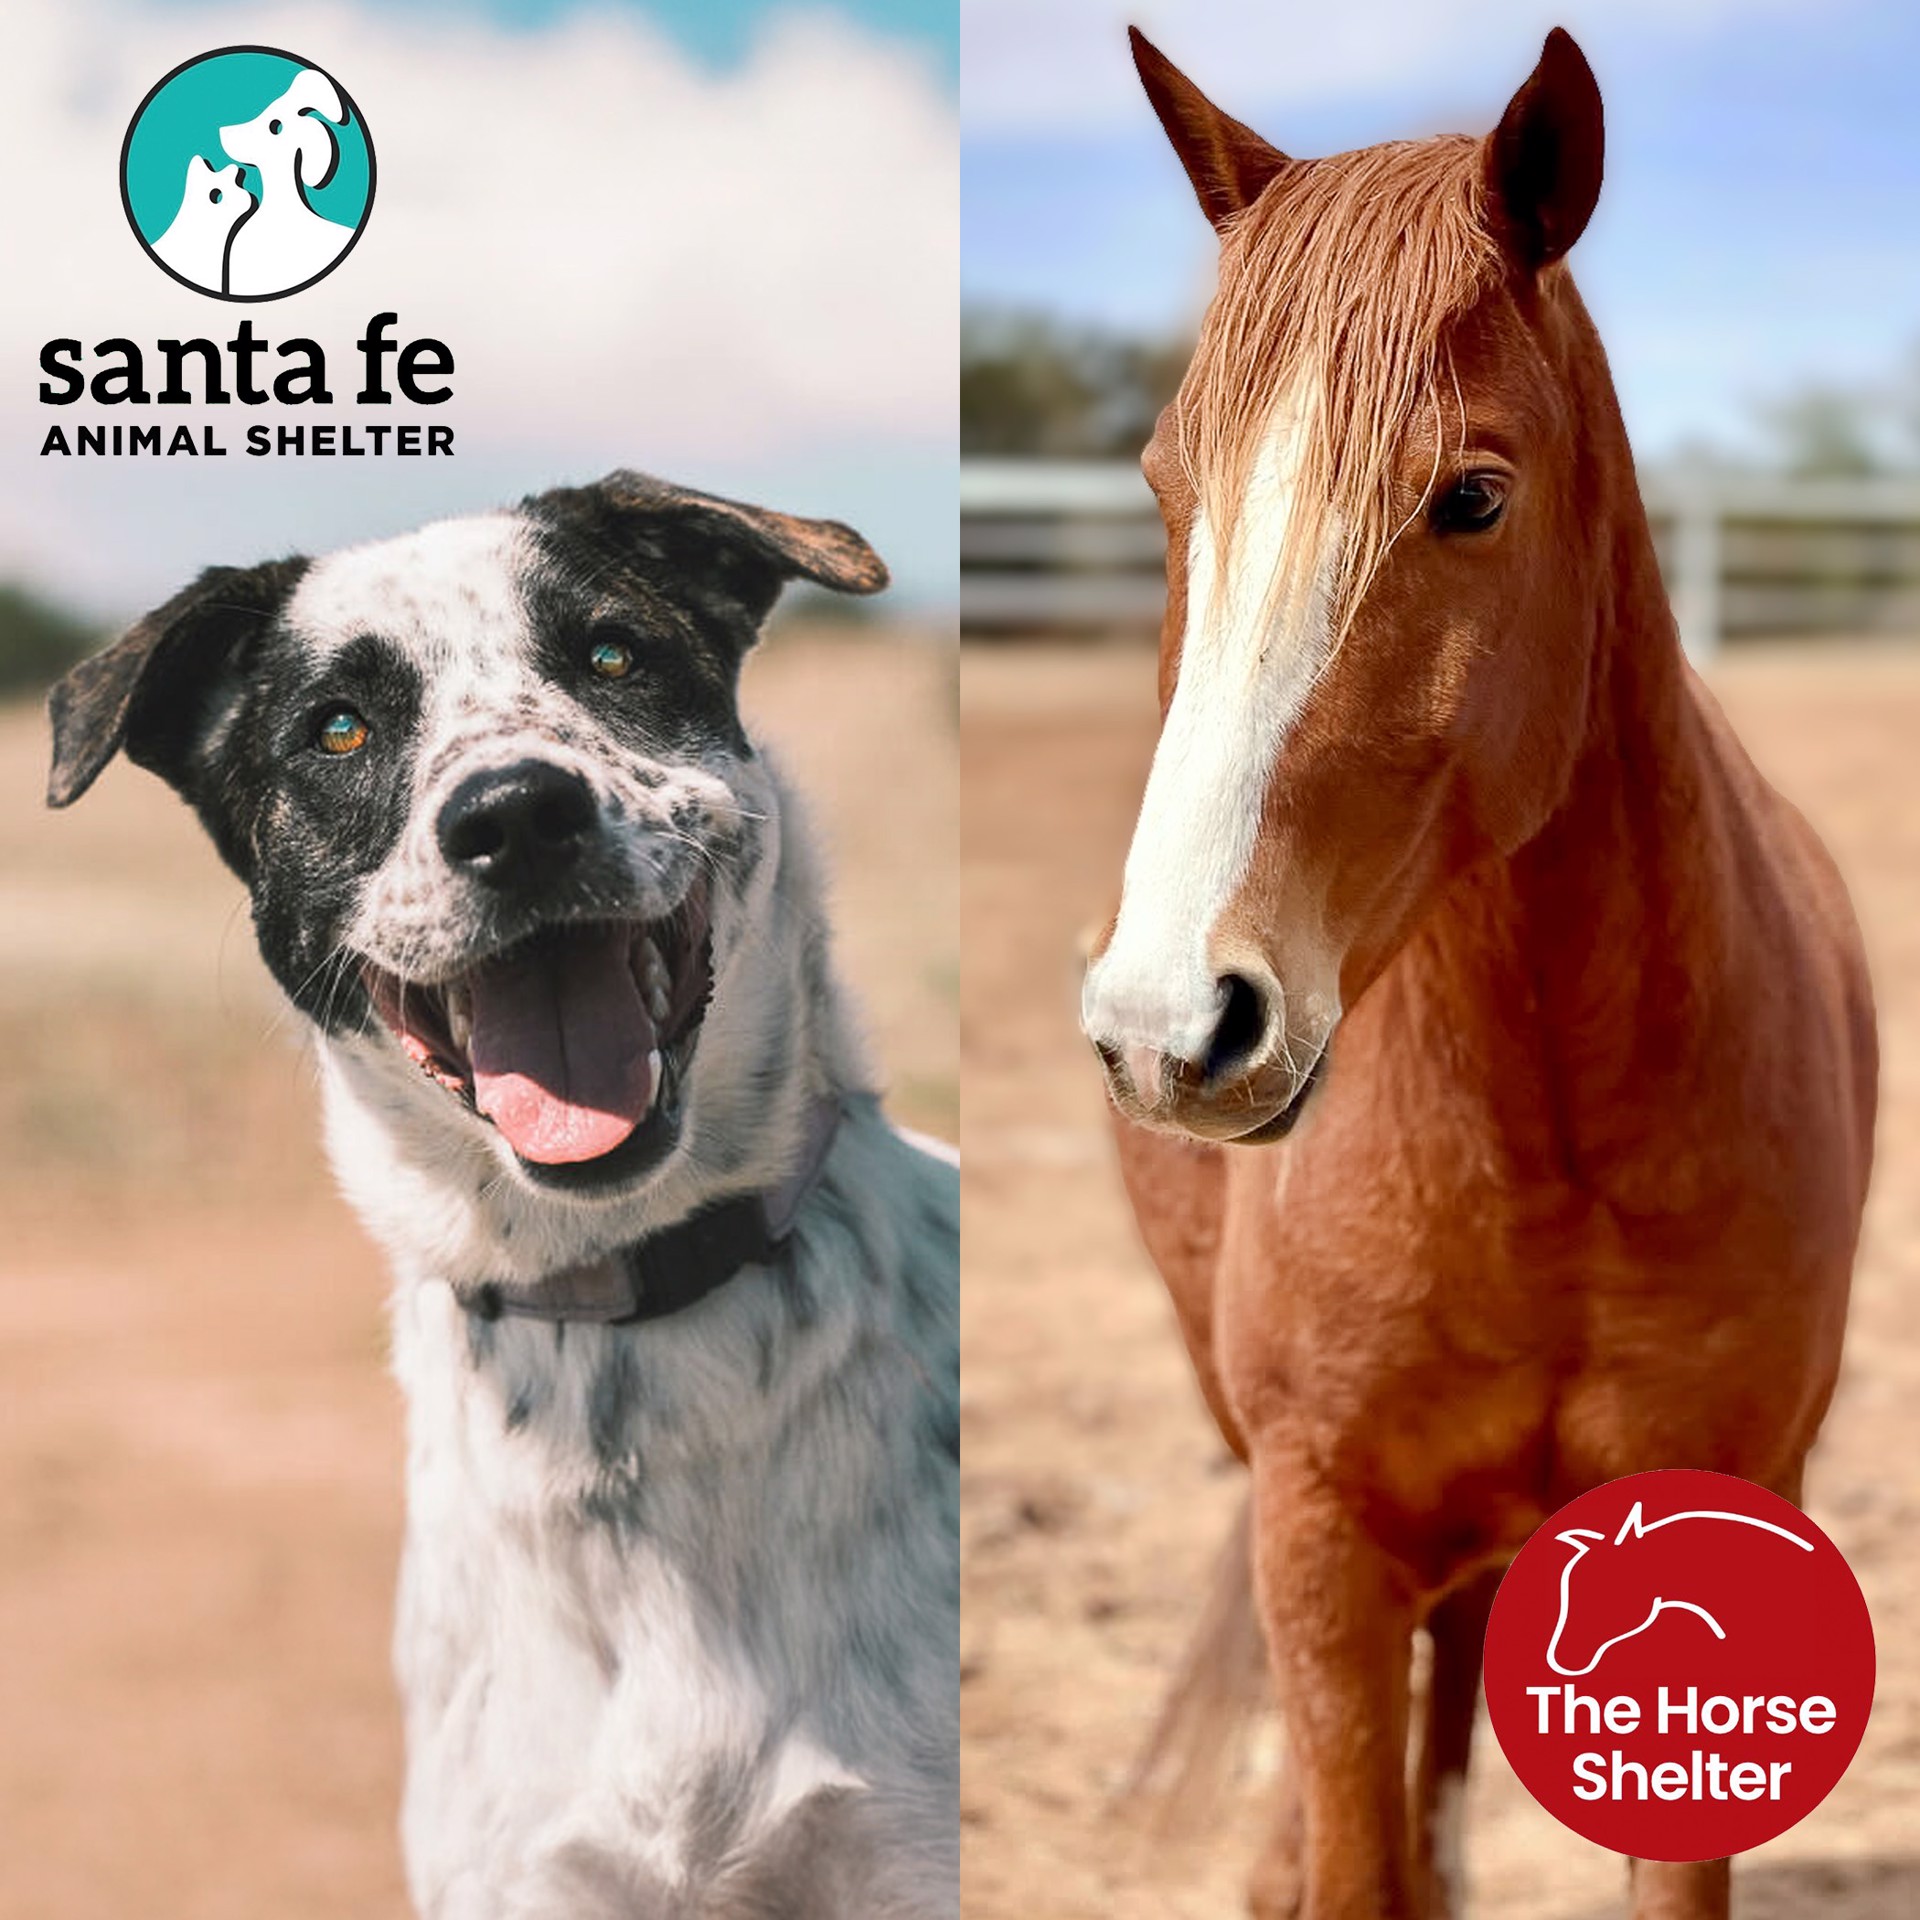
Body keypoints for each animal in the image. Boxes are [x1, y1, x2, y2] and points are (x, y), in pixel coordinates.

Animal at [1077, 27, 1875, 1920]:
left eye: (1474, 496)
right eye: (1166, 489)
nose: (1168, 1025)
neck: (1544, 1132)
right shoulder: (1318, 1542)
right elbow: (1354, 1845)